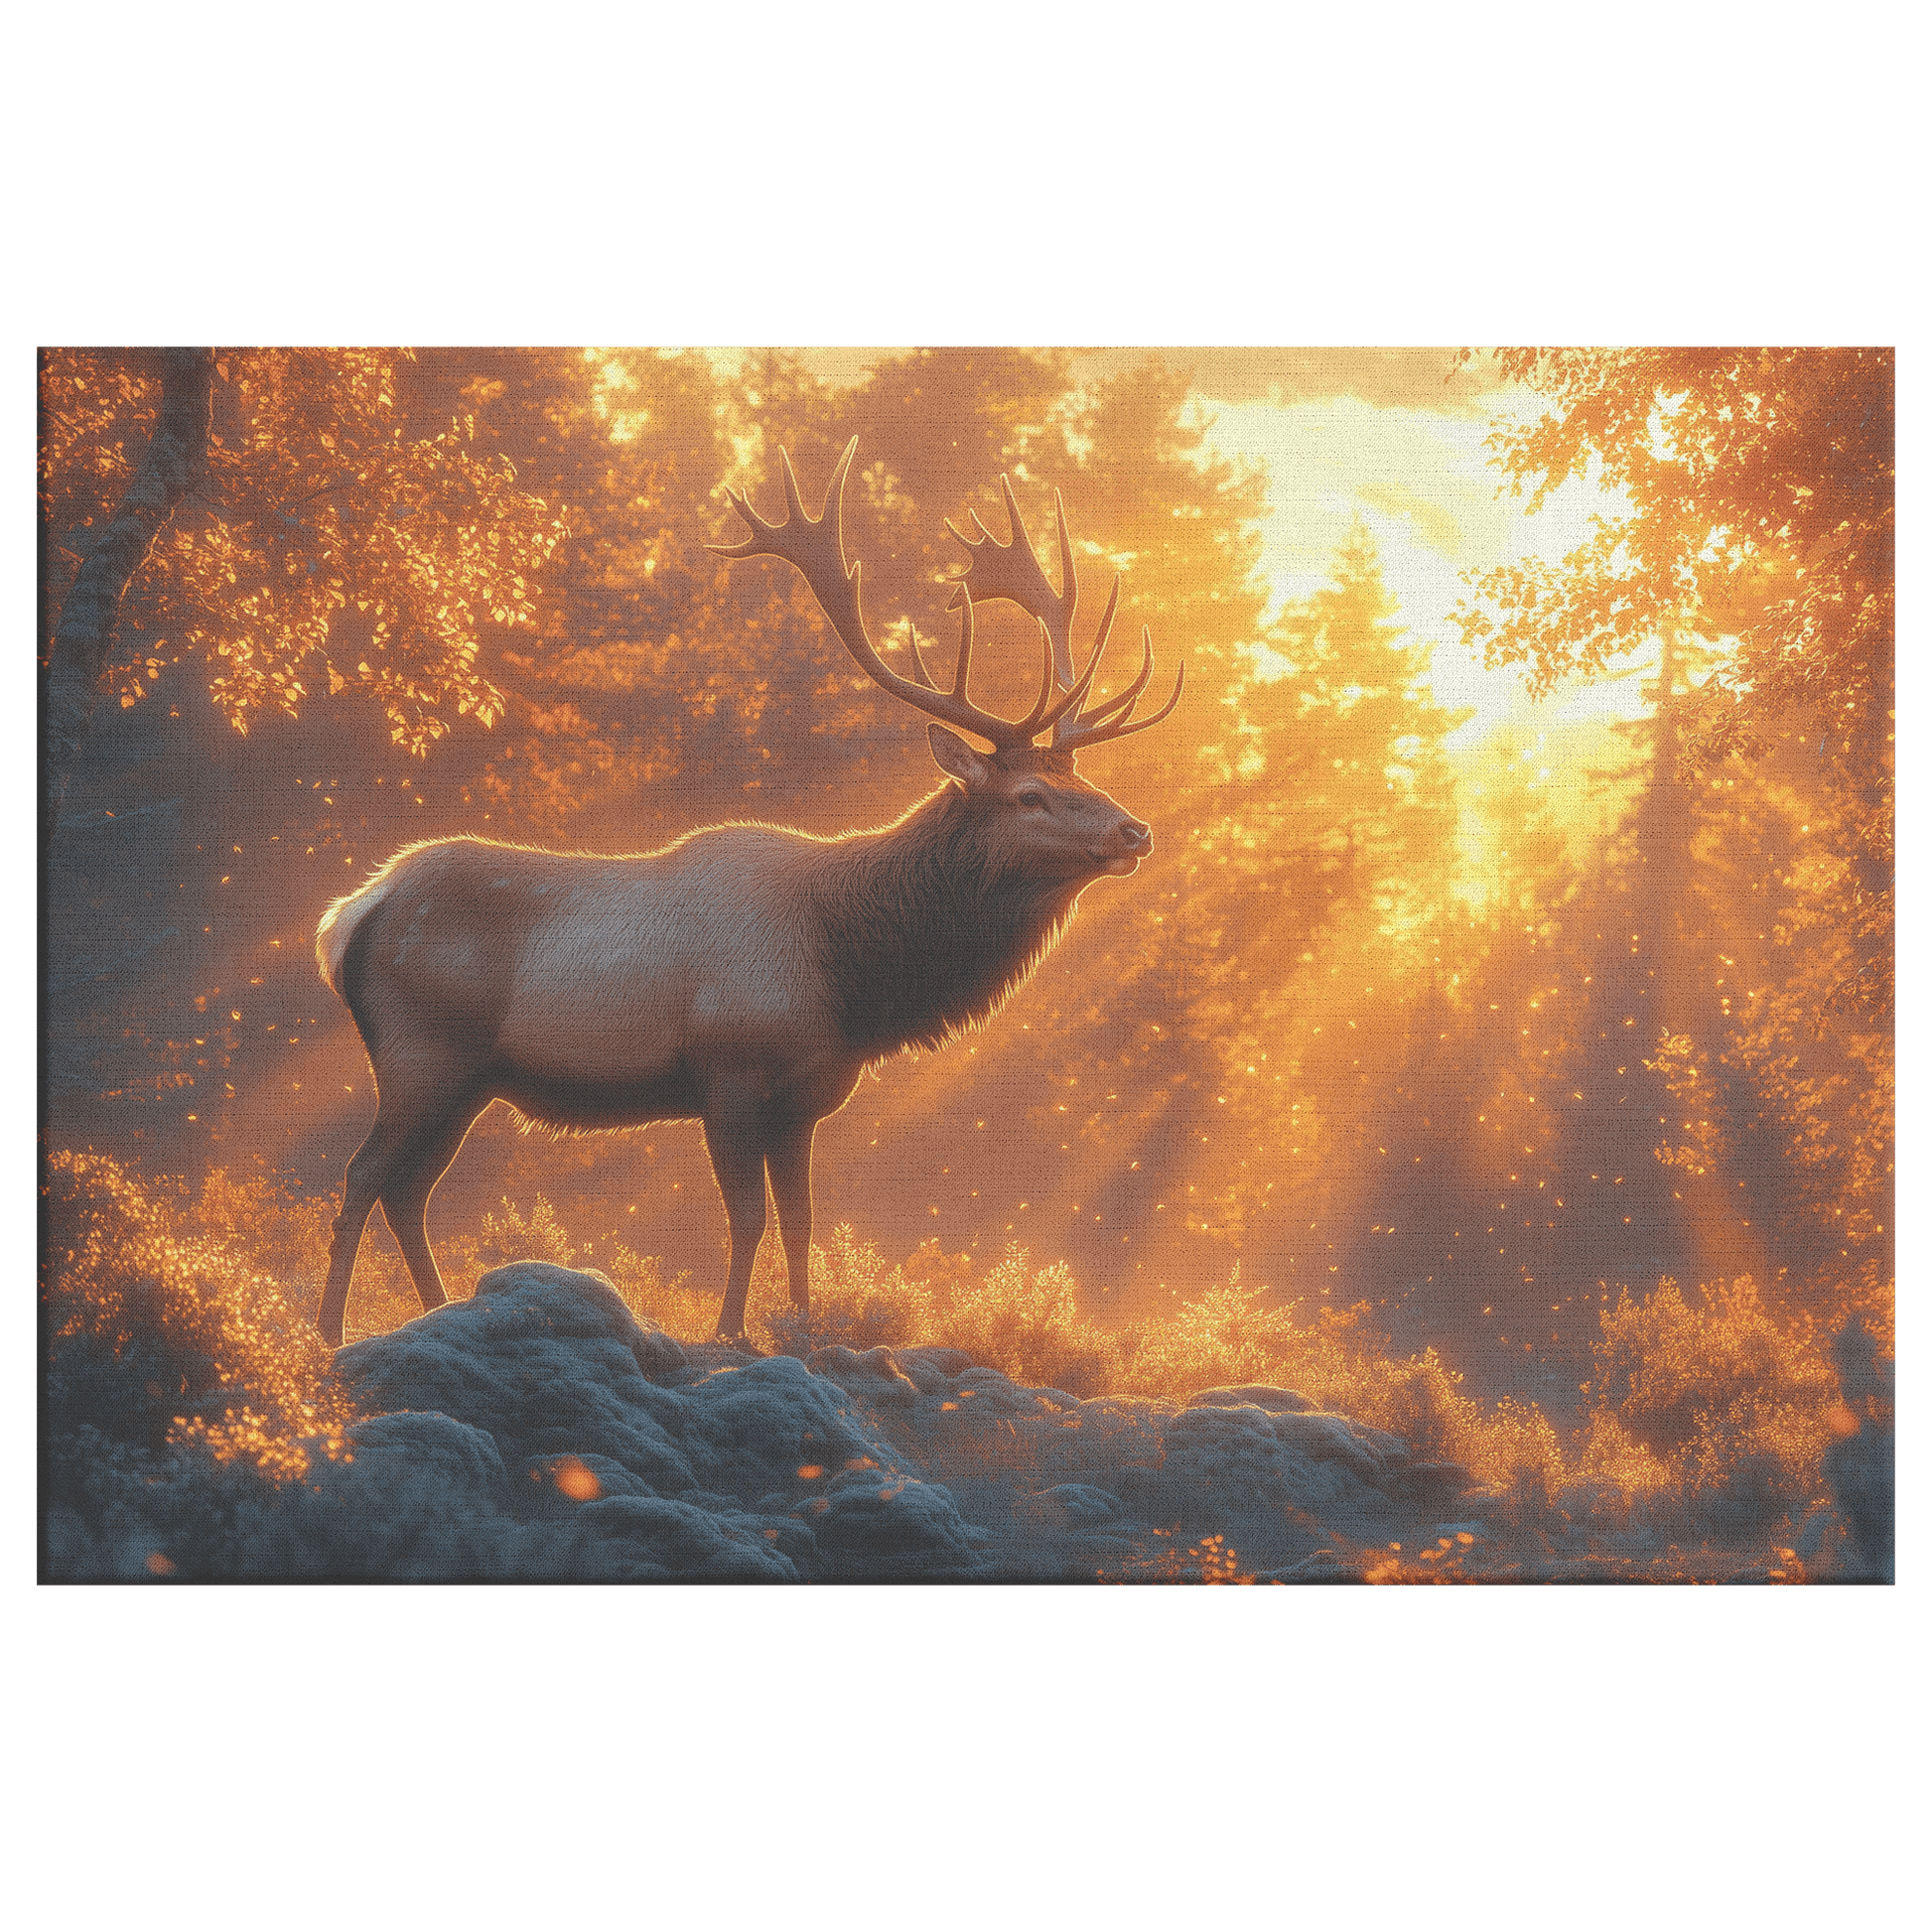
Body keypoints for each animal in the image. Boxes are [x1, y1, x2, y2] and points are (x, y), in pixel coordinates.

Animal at [312, 437, 1181, 1349]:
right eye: (1030, 796)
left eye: (1080, 778)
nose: (1135, 832)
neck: (852, 975)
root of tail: (348, 916)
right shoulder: (725, 1066)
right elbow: (746, 1217)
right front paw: (730, 1330)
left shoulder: (805, 1096)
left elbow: (800, 1220)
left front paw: (805, 1324)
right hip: (422, 1047)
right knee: (364, 1174)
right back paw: (331, 1332)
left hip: (468, 1075)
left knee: (409, 1188)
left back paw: (436, 1310)